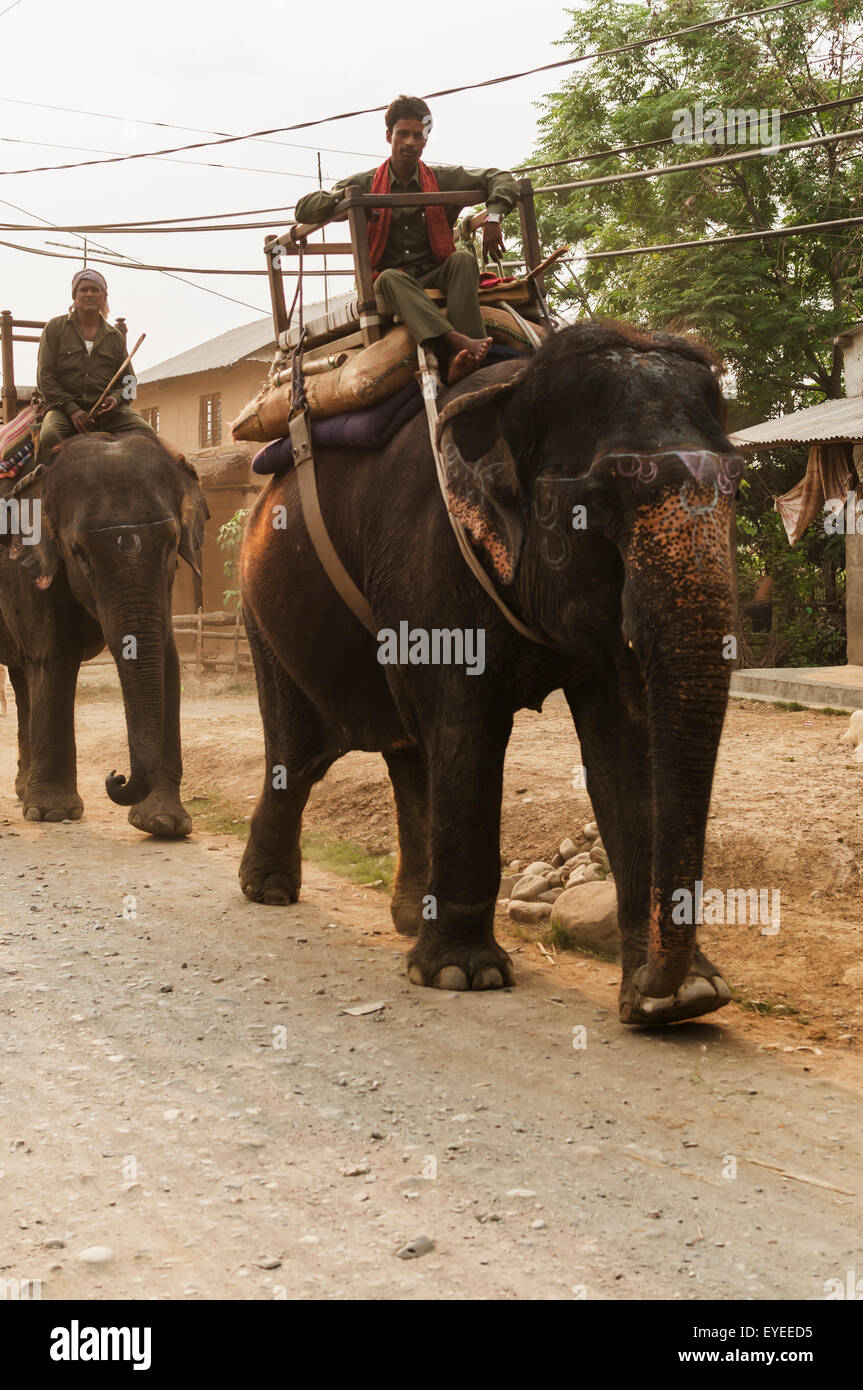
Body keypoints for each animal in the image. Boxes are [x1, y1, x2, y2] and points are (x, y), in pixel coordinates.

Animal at [0, 433, 208, 835]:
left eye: (171, 543)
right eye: (78, 551)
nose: (116, 776)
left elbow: (167, 659)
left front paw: (163, 824)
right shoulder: (31, 570)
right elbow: (55, 656)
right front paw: (51, 814)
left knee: (21, 678)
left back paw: (22, 790)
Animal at [238, 321, 744, 1026]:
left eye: (737, 490)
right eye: (600, 500)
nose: (654, 994)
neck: (512, 391)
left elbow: (624, 746)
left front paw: (687, 998)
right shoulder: (429, 559)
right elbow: (466, 727)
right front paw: (462, 975)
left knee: (406, 751)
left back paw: (405, 918)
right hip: (261, 615)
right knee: (300, 753)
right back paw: (269, 891)